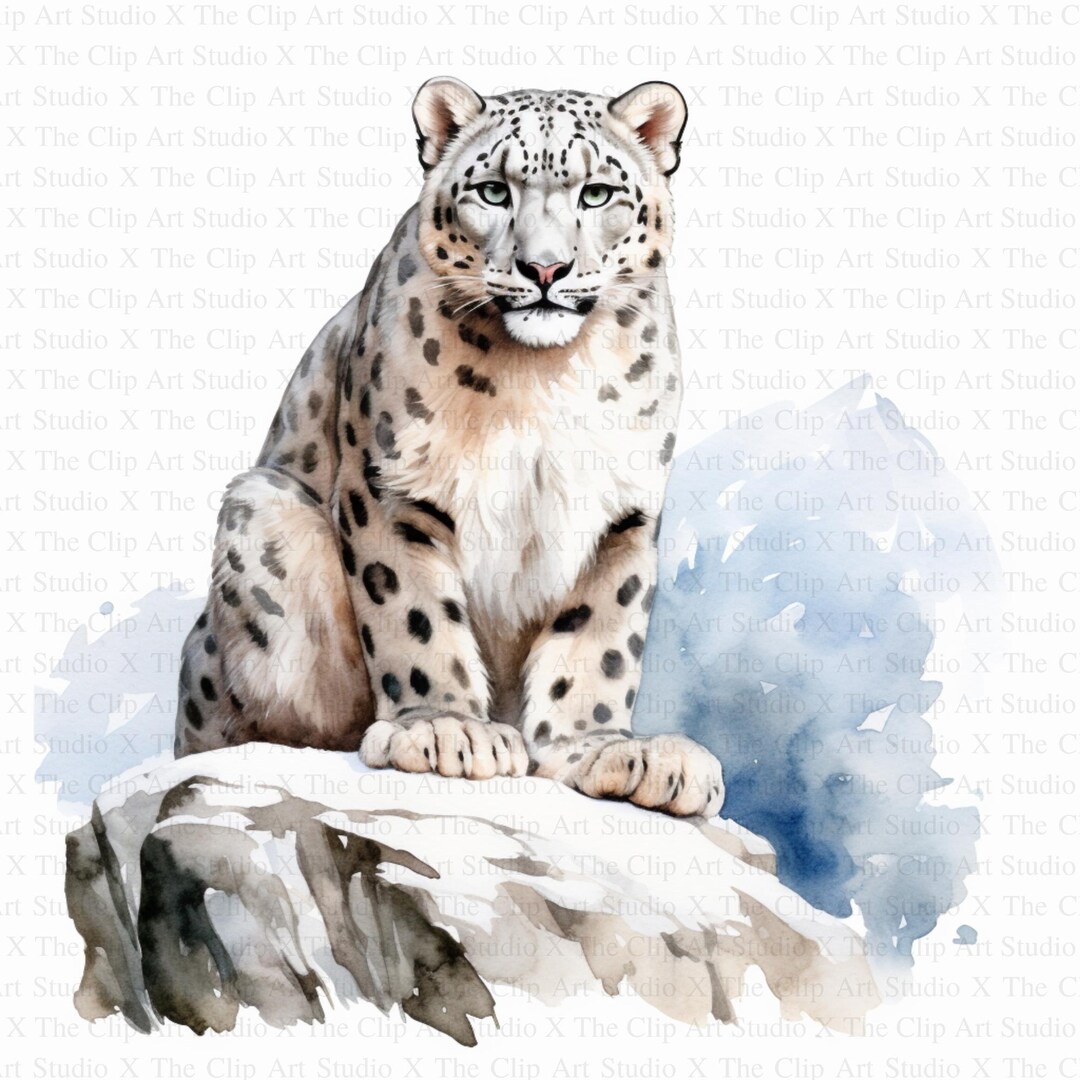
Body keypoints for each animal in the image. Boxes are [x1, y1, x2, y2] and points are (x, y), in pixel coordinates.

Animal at [173, 77, 725, 818]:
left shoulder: (620, 514)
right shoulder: (392, 487)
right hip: (262, 507)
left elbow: (601, 638)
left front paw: (599, 748)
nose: (545, 267)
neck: (544, 377)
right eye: (493, 191)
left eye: (596, 194)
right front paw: (445, 728)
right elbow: (416, 614)